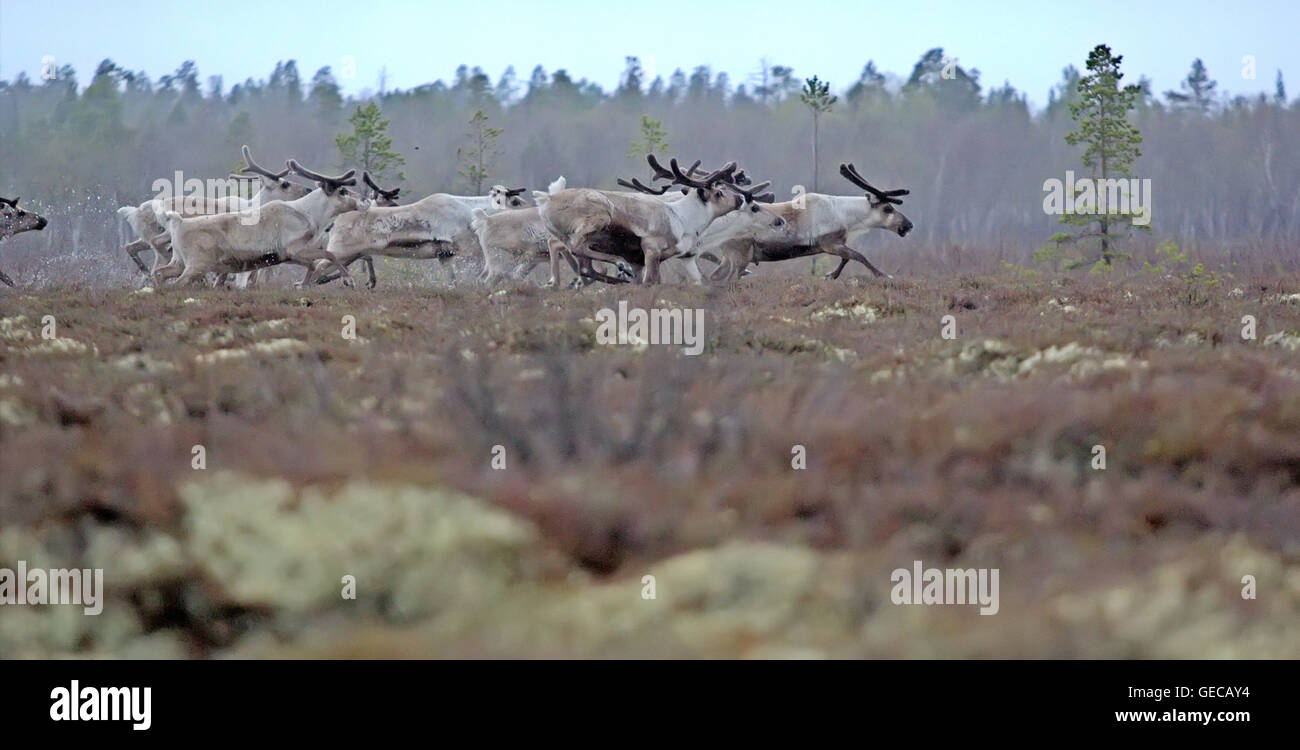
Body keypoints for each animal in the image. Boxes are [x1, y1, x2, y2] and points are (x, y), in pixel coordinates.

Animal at [154, 160, 364, 287]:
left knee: (160, 273)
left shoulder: (287, 256)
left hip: (179, 261)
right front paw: (349, 280)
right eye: (343, 191)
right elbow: (328, 255)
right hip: (197, 265)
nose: (364, 199)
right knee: (177, 283)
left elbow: (316, 263)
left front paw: (303, 285)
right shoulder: (294, 249)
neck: (309, 214)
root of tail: (178, 222)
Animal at [699, 163, 913, 283]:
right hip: (739, 256)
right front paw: (883, 275)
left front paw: (830, 275)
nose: (908, 225)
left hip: (730, 257)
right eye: (888, 208)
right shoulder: (828, 242)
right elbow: (858, 256)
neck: (844, 213)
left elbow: (847, 258)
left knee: (715, 277)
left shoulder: (836, 243)